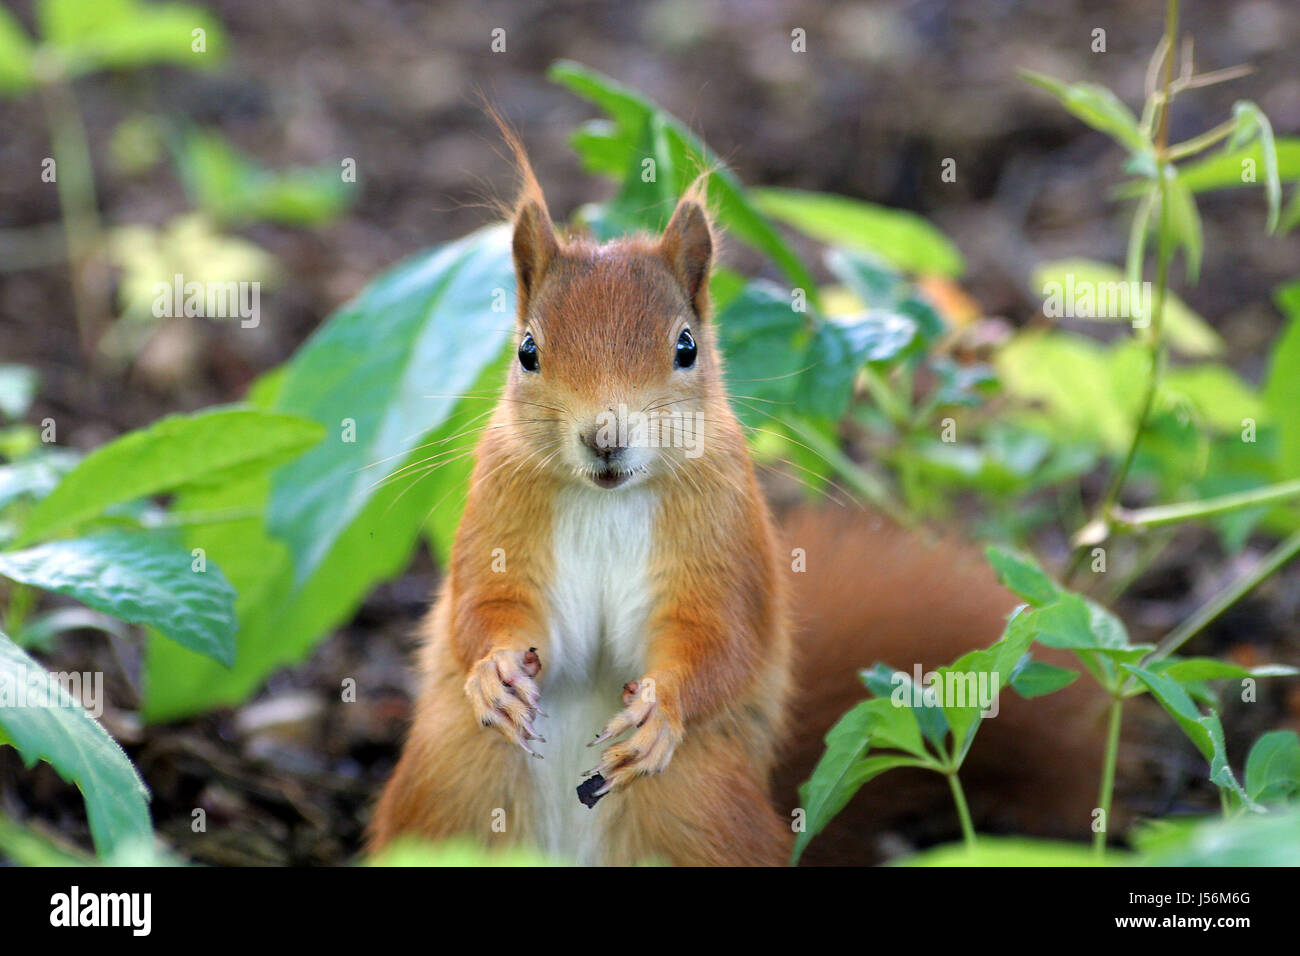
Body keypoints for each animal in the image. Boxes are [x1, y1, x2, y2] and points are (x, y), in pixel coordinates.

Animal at [369, 132, 1111, 866]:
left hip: (700, 805)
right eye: (527, 351)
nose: (605, 437)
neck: (608, 498)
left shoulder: (726, 535)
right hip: (450, 792)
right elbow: (483, 606)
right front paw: (495, 675)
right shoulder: (499, 514)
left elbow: (720, 637)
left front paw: (661, 712)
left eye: (686, 347)